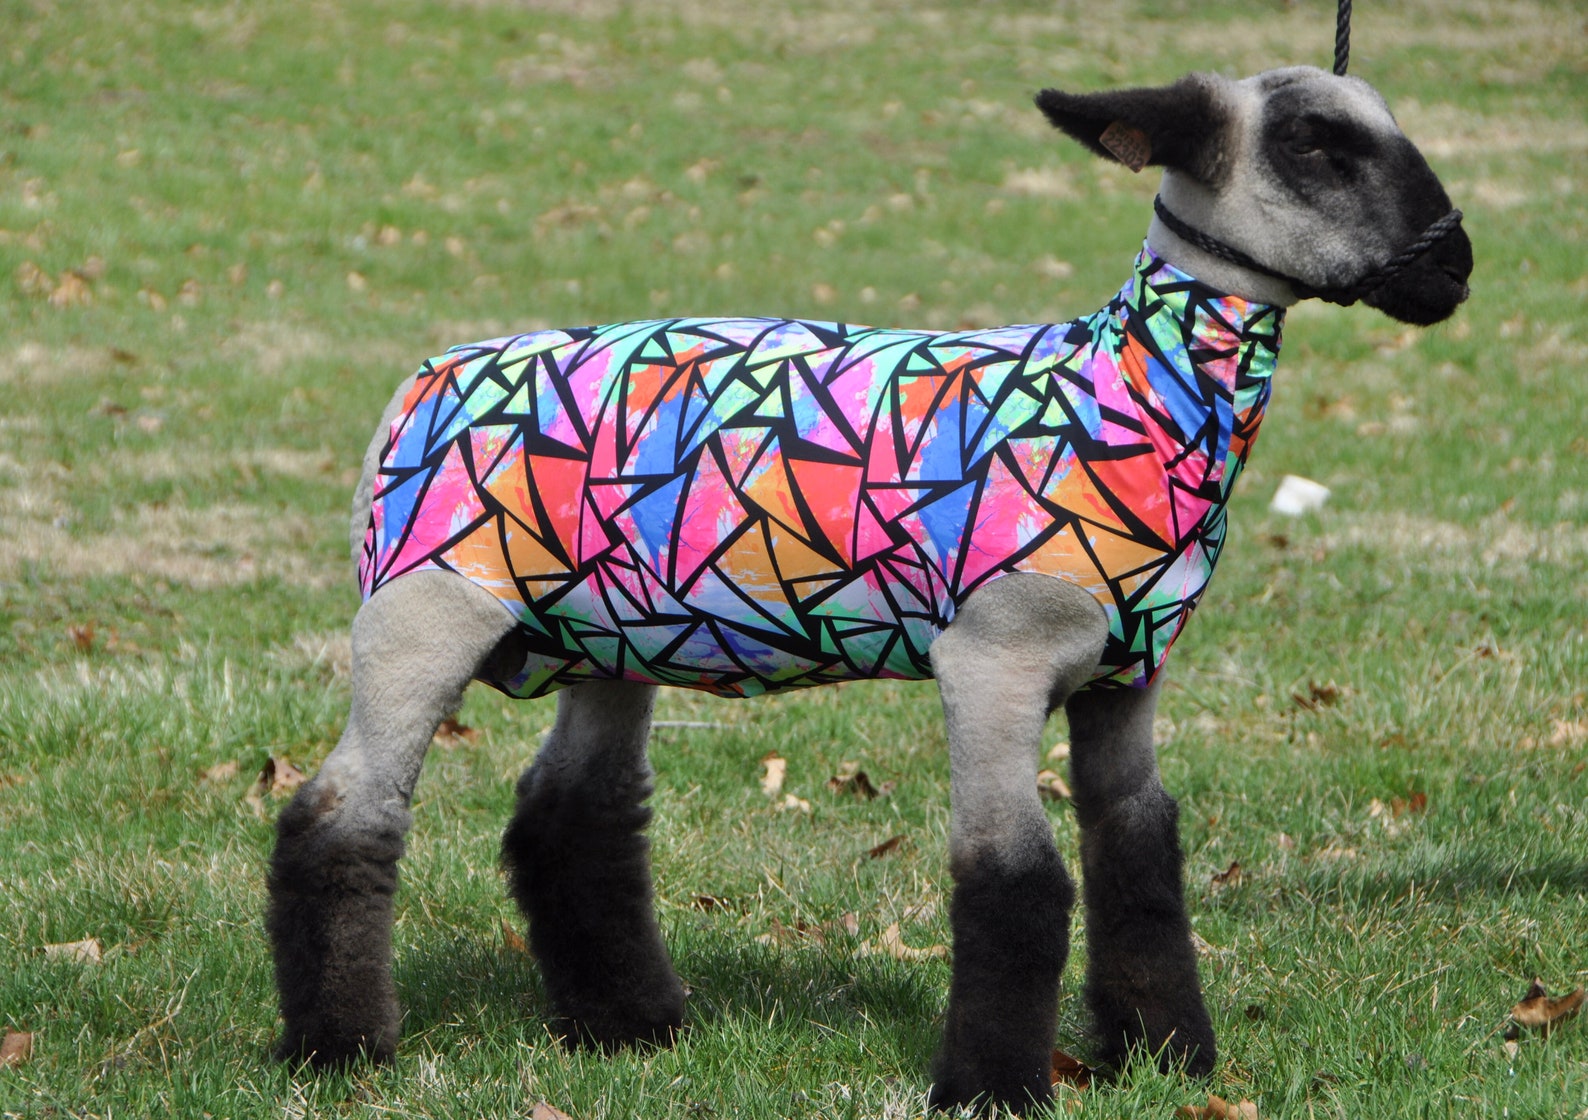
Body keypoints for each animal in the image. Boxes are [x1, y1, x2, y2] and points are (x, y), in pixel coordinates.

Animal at [266, 64, 1471, 1114]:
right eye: (1315, 146)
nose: (1456, 263)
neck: (1137, 394)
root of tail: (414, 385)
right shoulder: (993, 656)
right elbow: (1015, 878)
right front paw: (994, 1089)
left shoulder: (1125, 675)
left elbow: (1139, 857)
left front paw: (1166, 1058)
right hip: (425, 603)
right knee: (342, 815)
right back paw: (339, 1050)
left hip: (620, 628)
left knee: (574, 813)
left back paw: (629, 1024)